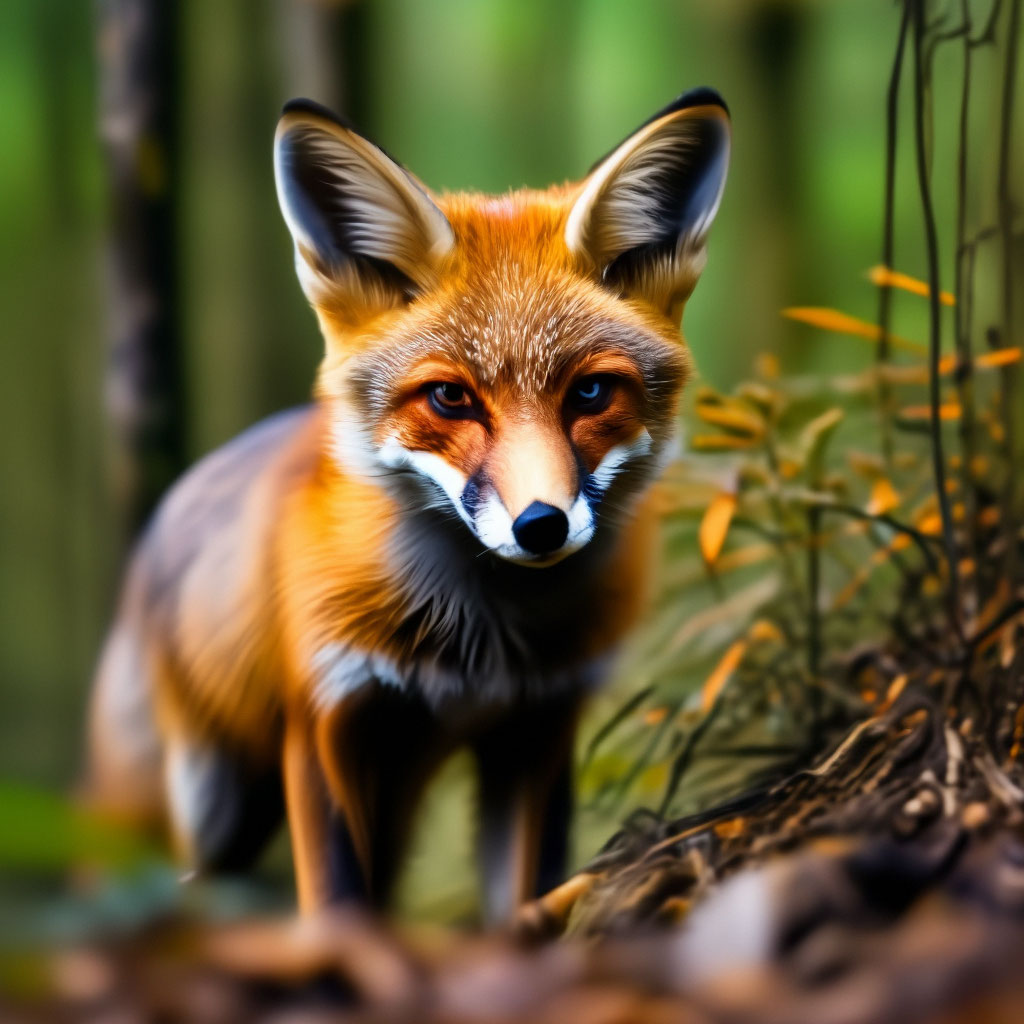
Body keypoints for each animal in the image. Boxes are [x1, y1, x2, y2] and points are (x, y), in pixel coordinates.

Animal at [84, 88, 730, 922]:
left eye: (590, 392)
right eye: (451, 398)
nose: (541, 526)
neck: (478, 643)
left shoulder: (537, 728)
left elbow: (518, 897)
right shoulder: (325, 719)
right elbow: (335, 907)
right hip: (204, 809)